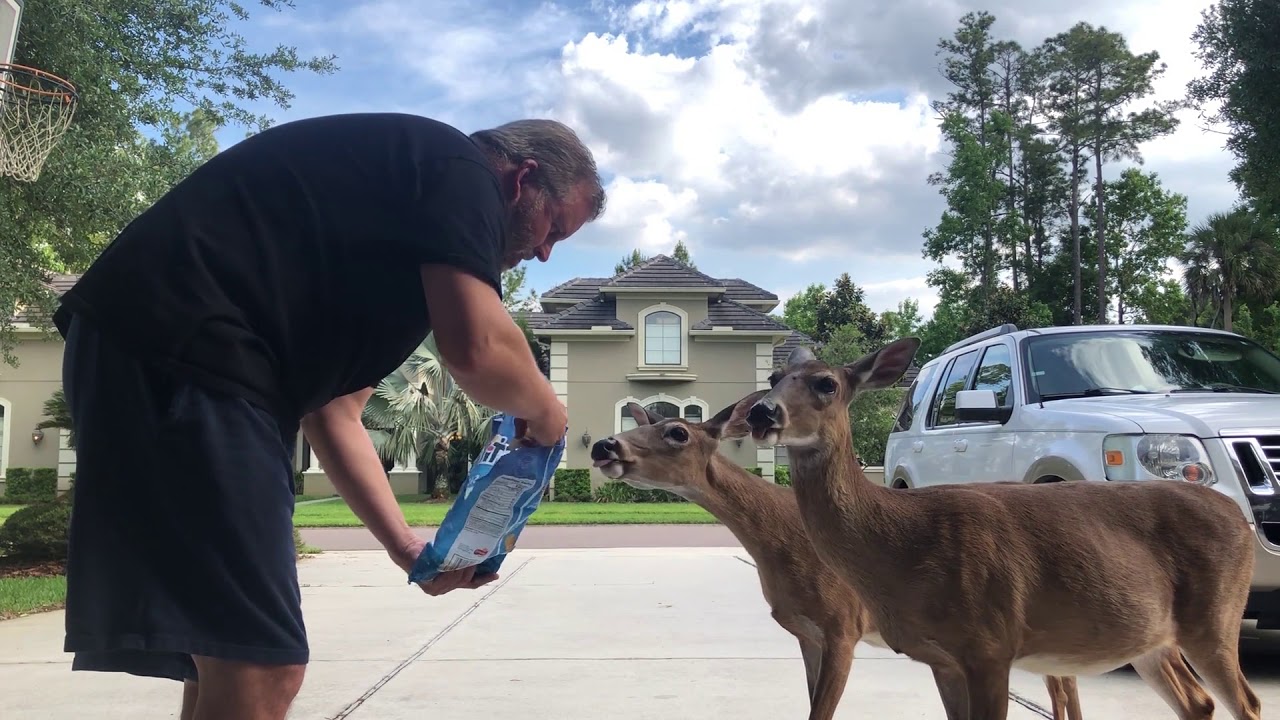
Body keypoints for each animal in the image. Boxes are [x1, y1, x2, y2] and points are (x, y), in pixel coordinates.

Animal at [589, 395, 1085, 720]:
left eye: (677, 431)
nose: (604, 446)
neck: (782, 539)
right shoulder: (808, 633)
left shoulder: (843, 624)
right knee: (1062, 682)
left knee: (1065, 686)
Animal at [742, 336, 1261, 720]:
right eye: (772, 378)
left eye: (826, 384)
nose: (760, 412)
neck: (904, 541)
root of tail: (1240, 518)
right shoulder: (942, 658)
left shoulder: (989, 644)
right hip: (1152, 639)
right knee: (1199, 702)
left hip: (1215, 620)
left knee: (1248, 702)